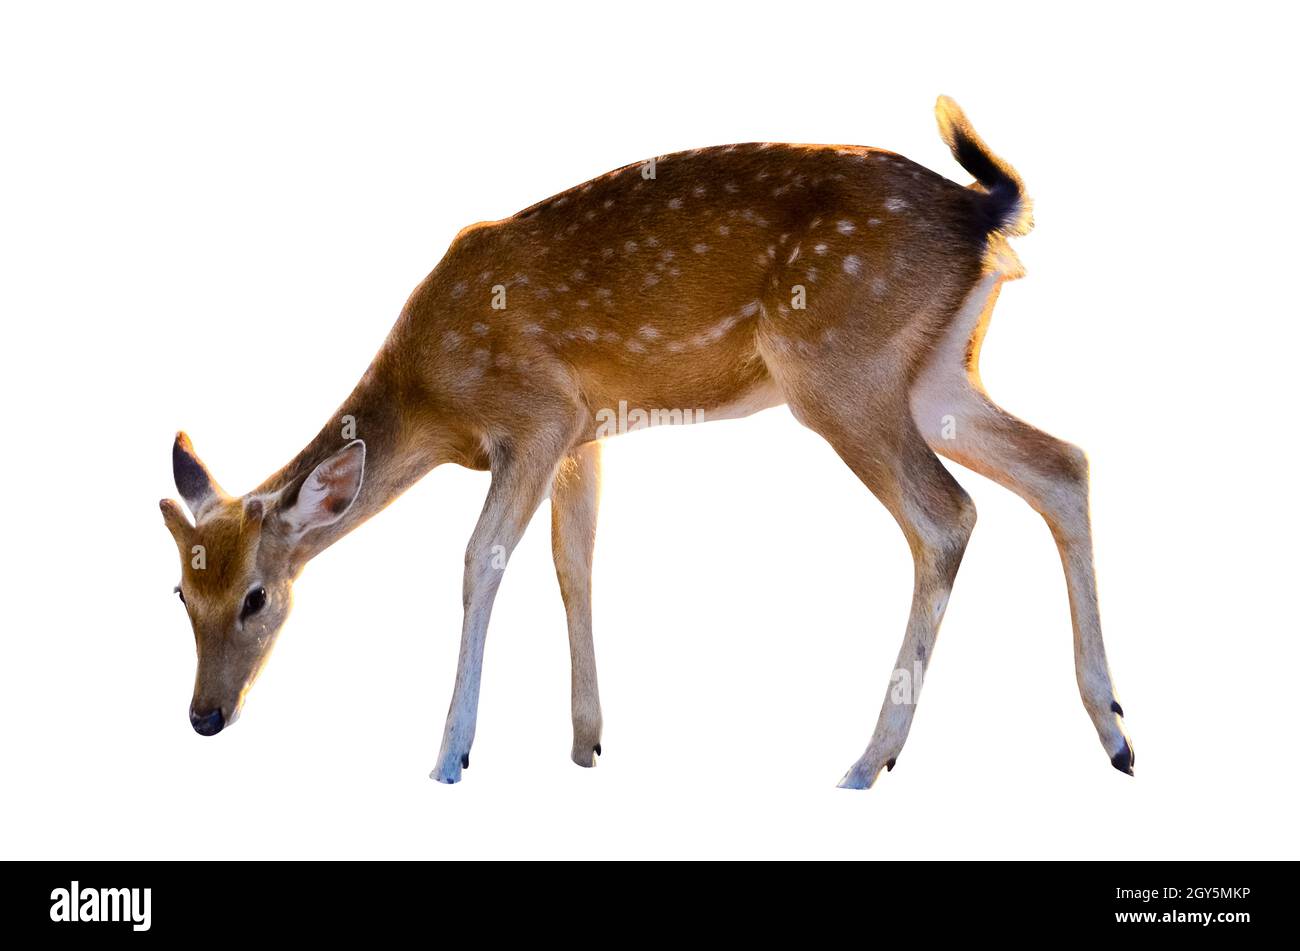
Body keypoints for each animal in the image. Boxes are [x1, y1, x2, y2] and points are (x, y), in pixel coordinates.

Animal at [160, 96, 1133, 789]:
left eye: (254, 597)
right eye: (178, 593)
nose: (204, 717)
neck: (436, 396)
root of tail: (986, 211)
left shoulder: (538, 414)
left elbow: (481, 559)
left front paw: (451, 754)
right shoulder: (583, 434)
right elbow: (575, 563)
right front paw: (586, 742)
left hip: (838, 365)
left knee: (947, 514)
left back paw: (869, 760)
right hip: (936, 376)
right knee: (1063, 464)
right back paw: (1115, 729)